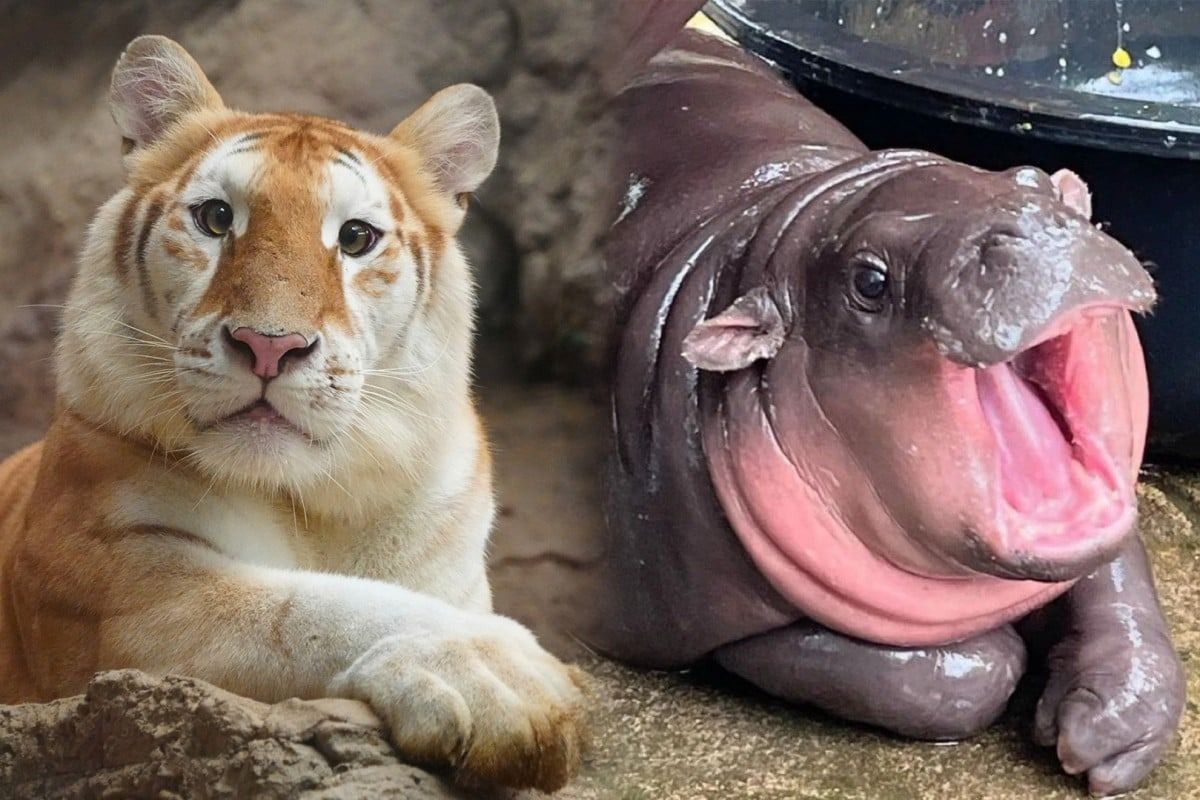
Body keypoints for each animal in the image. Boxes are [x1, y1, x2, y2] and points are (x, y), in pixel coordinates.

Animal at [0, 34, 586, 793]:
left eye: (357, 237)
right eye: (217, 218)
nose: (269, 345)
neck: (318, 501)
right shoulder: (115, 590)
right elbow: (306, 607)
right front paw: (498, 677)